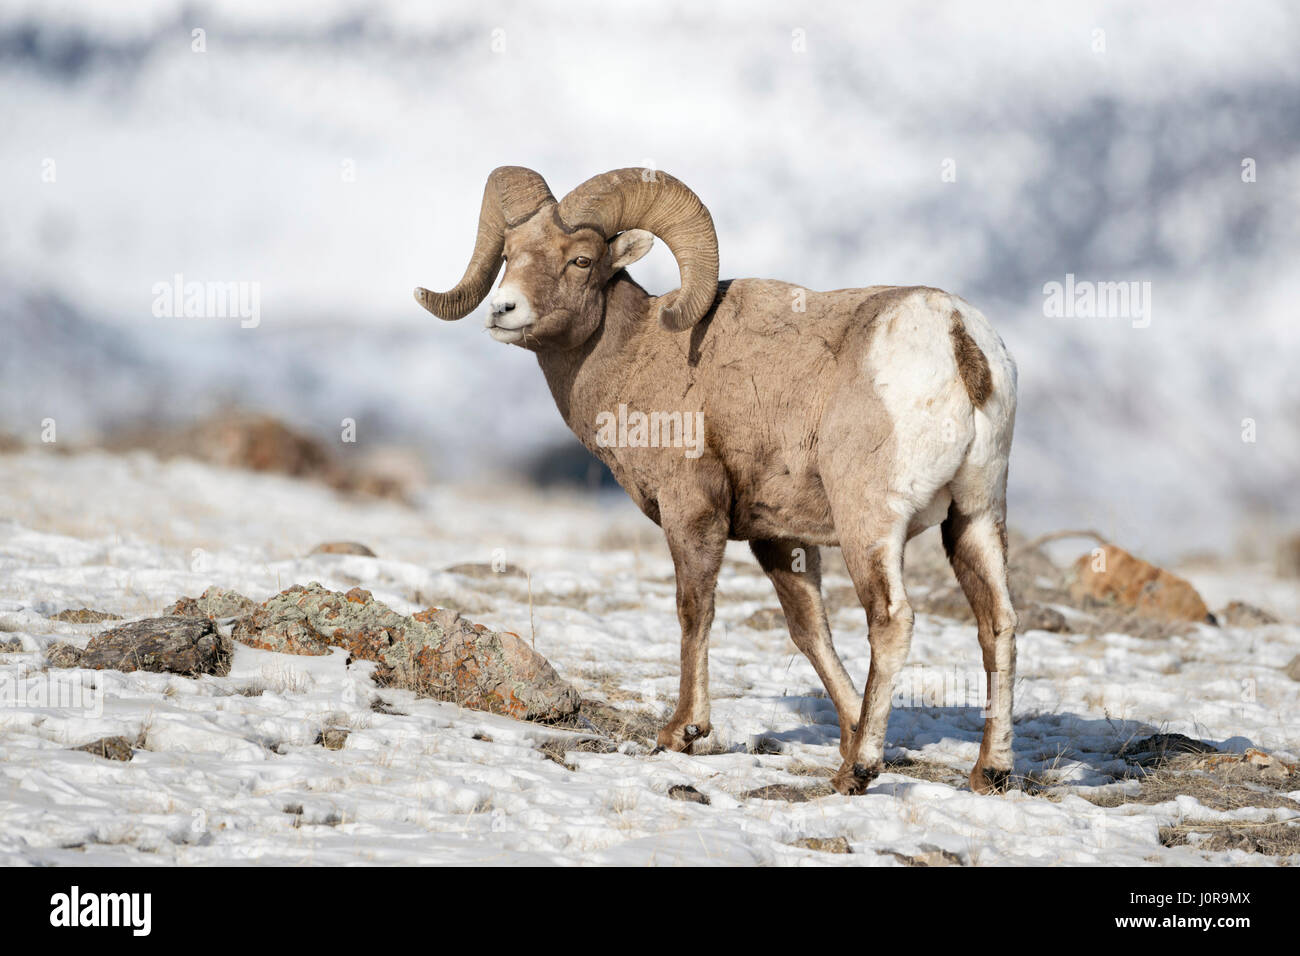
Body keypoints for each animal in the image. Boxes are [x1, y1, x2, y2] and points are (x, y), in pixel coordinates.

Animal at [414, 167, 1018, 795]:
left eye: (581, 259)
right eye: (509, 254)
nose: (503, 310)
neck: (641, 356)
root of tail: (955, 338)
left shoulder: (693, 514)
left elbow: (694, 610)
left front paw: (683, 732)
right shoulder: (778, 538)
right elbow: (809, 631)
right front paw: (851, 730)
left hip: (870, 525)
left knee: (893, 621)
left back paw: (857, 772)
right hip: (975, 516)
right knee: (997, 623)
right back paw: (988, 771)